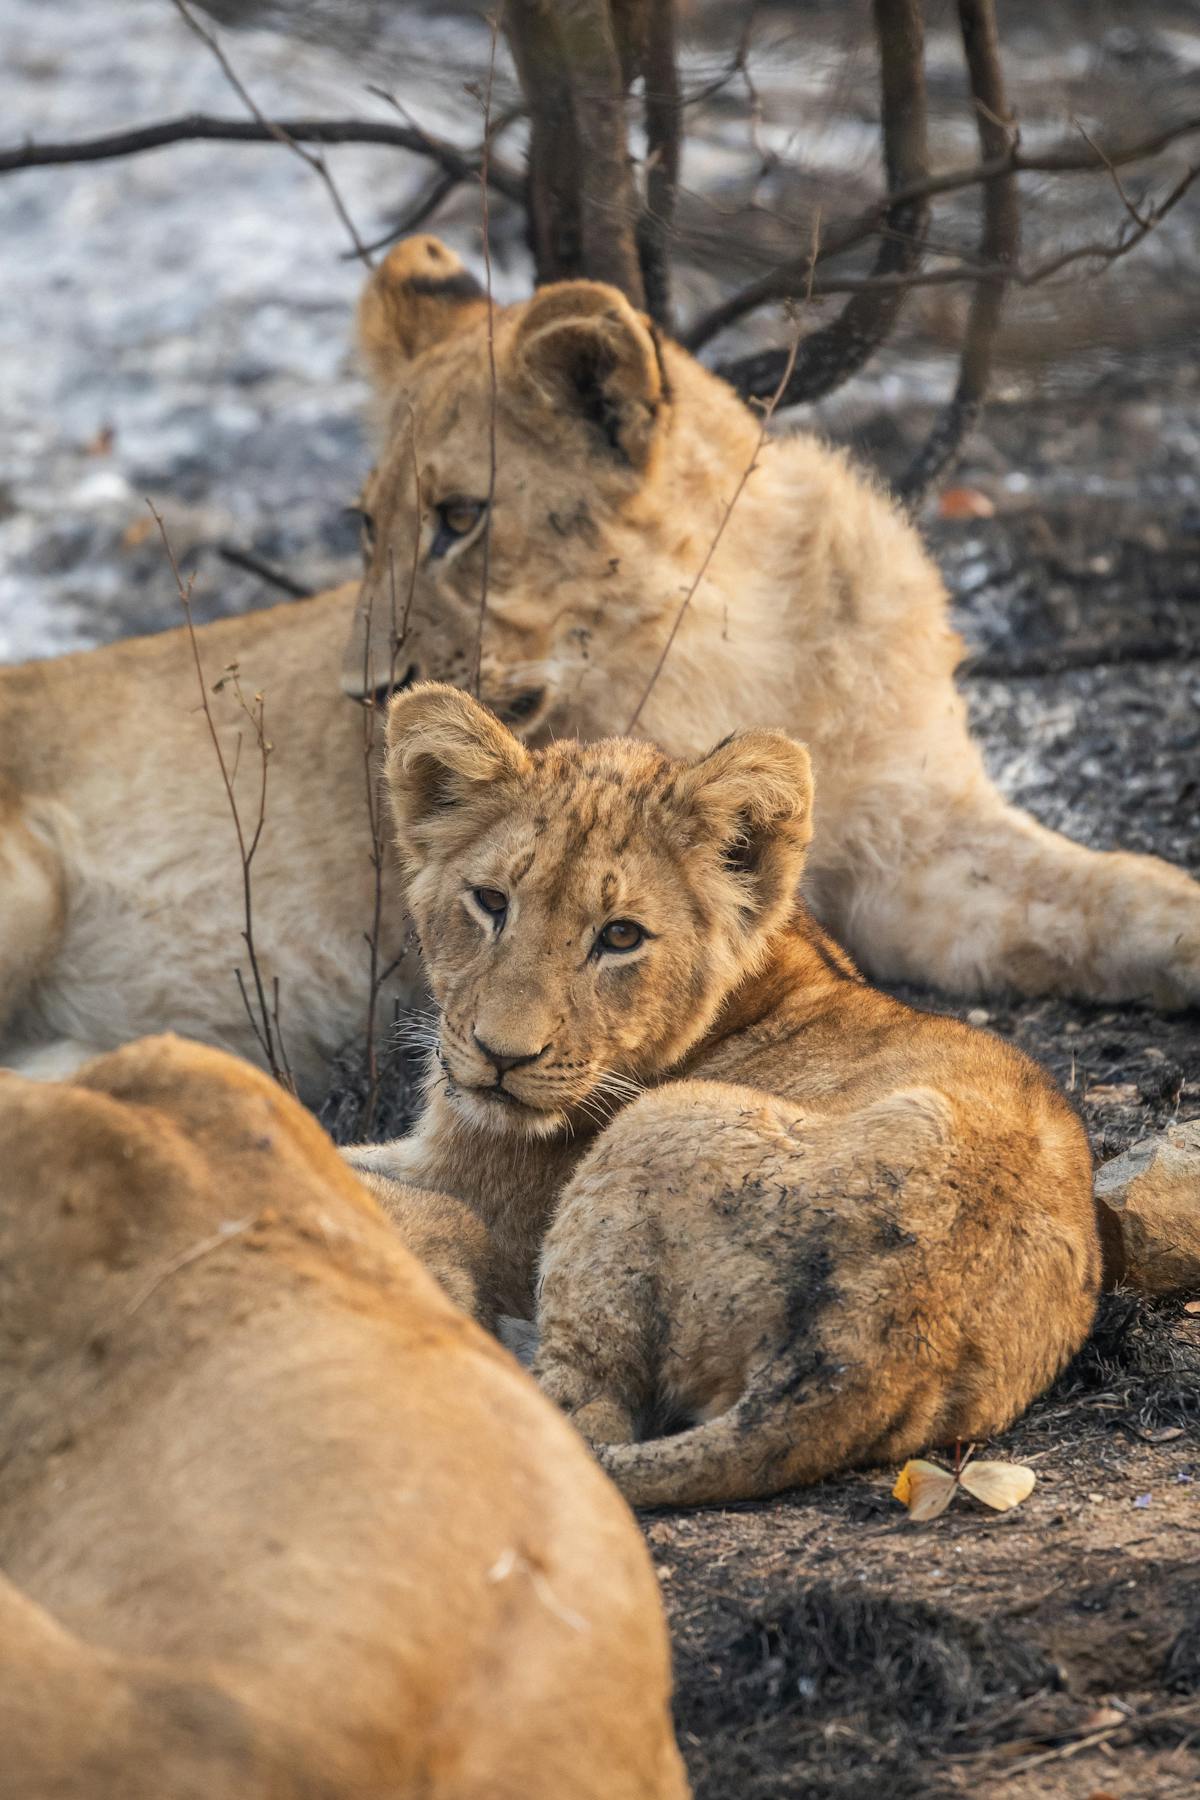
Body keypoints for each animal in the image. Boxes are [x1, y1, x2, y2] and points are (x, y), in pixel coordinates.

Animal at [3, 235, 1197, 1093]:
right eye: (368, 528)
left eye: (460, 519)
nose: (363, 696)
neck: (754, 650)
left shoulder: (916, 838)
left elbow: (1098, 887)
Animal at [349, 684, 1101, 1509]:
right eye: (489, 901)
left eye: (620, 936)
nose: (501, 1057)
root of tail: (870, 1344)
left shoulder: (481, 1193)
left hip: (652, 1132)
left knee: (584, 1412)